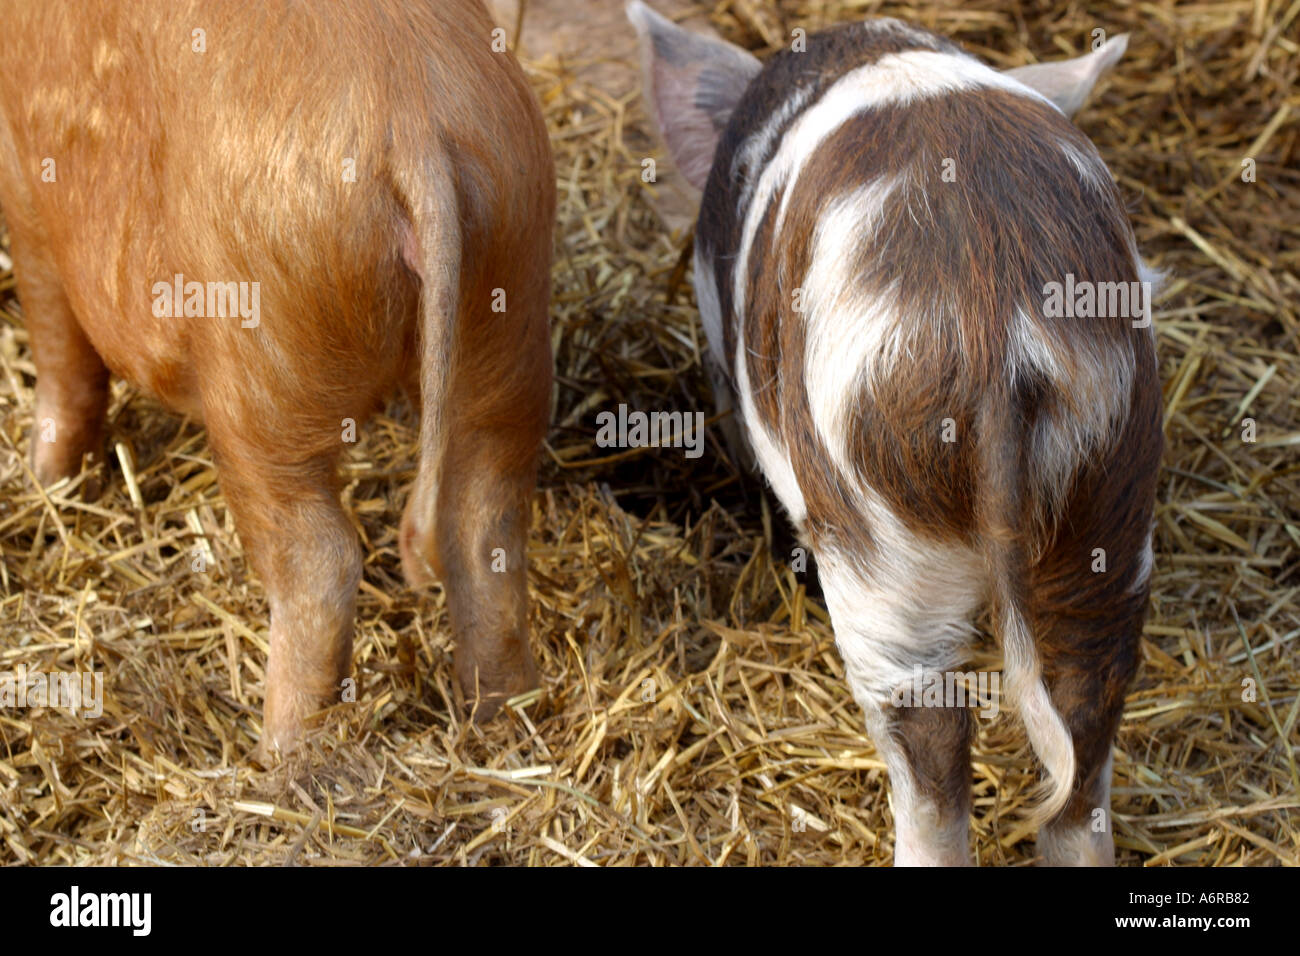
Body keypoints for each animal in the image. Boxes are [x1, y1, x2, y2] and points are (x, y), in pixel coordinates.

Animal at [0, 0, 555, 760]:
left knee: (319, 560)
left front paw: (46, 479)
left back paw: (273, 758)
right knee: (485, 526)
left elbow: (59, 344)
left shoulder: (23, 181)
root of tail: (416, 131)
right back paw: (500, 725)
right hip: (509, 306)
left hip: (262, 375)